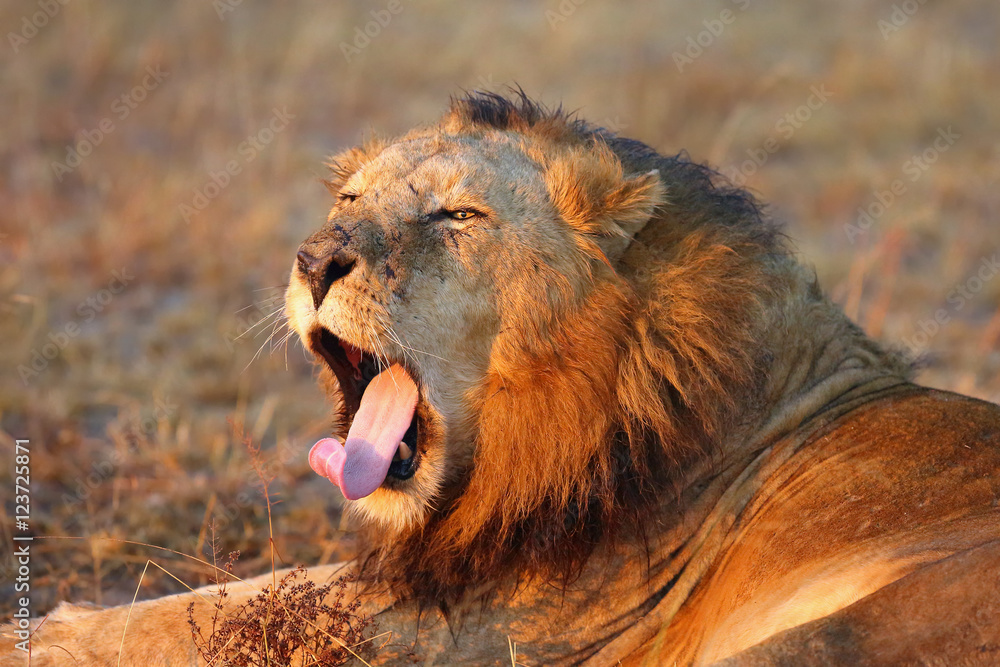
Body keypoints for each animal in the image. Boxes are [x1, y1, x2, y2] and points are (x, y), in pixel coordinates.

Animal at [6, 92, 1000, 666]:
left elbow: (202, 618)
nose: (315, 258)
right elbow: (249, 588)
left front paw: (40, 633)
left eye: (457, 215)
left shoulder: (490, 630)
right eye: (349, 201)